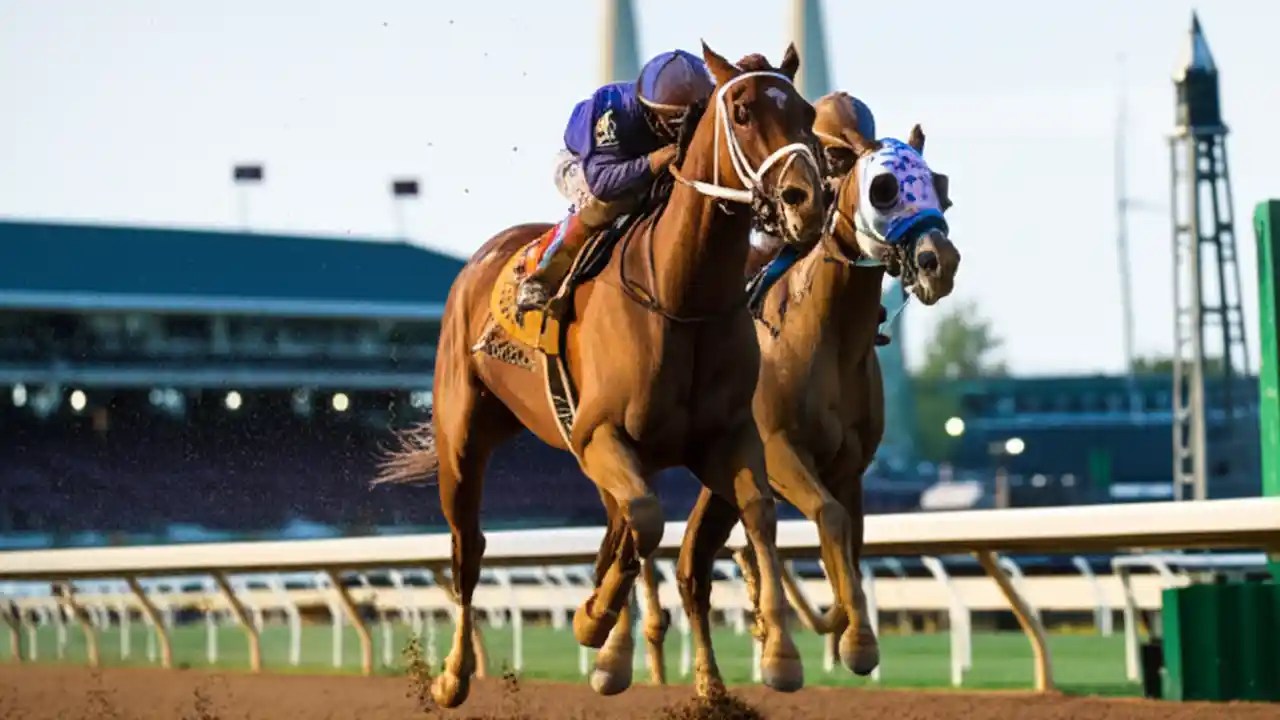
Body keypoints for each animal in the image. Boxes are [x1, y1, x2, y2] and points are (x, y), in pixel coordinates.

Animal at [375, 42, 827, 707]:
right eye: (742, 111)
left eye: (803, 112)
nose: (806, 200)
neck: (679, 295)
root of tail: (478, 261)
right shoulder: (600, 433)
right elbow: (646, 520)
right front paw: (593, 622)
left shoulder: (725, 437)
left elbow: (756, 514)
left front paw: (781, 655)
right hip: (464, 441)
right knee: (469, 548)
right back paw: (455, 674)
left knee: (617, 530)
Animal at [612, 115, 961, 684]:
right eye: (884, 188)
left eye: (942, 189)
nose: (940, 262)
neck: (823, 332)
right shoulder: (777, 452)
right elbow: (831, 518)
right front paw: (850, 639)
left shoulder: (848, 467)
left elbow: (849, 537)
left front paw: (835, 623)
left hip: (719, 479)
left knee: (691, 565)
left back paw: (712, 681)